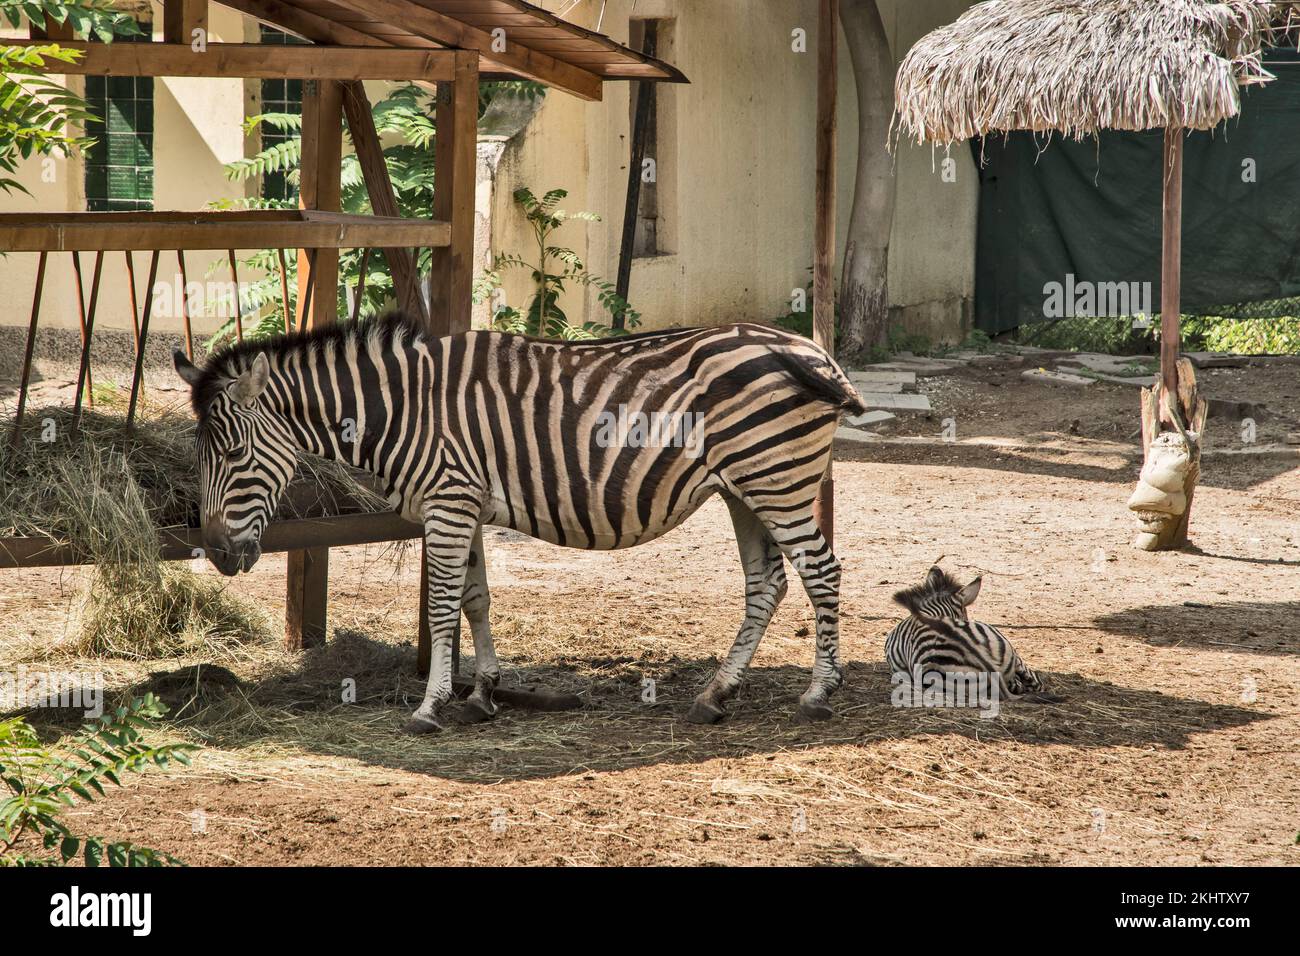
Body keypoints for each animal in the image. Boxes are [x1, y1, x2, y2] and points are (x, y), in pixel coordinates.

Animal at [172, 314, 866, 732]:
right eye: (201, 451)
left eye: (233, 454)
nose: (217, 553)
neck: (405, 409)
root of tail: (808, 347)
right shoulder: (465, 505)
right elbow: (475, 598)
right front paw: (482, 693)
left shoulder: (449, 503)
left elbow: (443, 604)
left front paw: (430, 706)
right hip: (744, 488)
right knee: (767, 583)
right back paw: (716, 694)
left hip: (777, 479)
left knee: (822, 572)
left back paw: (818, 695)